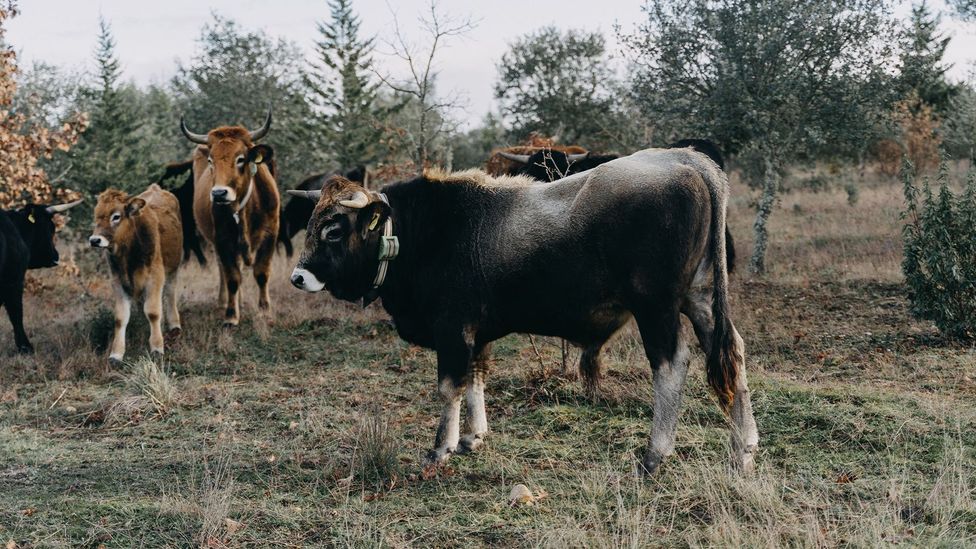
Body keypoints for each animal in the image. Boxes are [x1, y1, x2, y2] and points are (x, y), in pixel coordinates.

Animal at [88, 185, 183, 363]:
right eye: (96, 216)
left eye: (116, 216)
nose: (94, 240)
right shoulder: (117, 281)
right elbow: (120, 318)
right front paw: (116, 354)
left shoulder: (155, 278)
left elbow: (153, 312)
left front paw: (157, 347)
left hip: (173, 269)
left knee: (170, 293)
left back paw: (174, 325)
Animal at [180, 109, 279, 327]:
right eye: (211, 160)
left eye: (240, 159)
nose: (219, 193)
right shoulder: (222, 240)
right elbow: (232, 277)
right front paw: (231, 315)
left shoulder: (270, 235)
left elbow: (262, 273)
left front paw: (265, 312)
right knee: (224, 271)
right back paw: (223, 302)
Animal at [287, 147, 759, 475]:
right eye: (310, 223)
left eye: (333, 229)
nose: (298, 277)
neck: (418, 231)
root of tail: (686, 159)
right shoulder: (475, 335)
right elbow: (476, 381)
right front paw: (473, 437)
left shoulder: (452, 331)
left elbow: (449, 388)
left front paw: (441, 449)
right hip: (701, 300)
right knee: (732, 352)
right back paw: (744, 448)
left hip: (656, 308)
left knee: (671, 364)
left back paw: (654, 455)